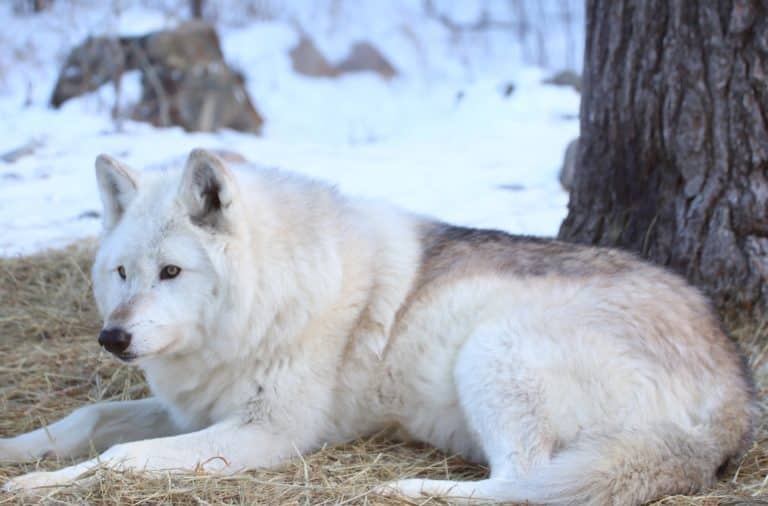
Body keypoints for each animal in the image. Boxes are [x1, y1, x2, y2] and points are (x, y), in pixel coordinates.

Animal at [1, 149, 756, 504]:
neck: (275, 296)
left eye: (171, 273)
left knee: (524, 482)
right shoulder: (194, 411)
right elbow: (89, 419)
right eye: (122, 273)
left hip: (492, 351)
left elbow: (119, 457)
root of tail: (737, 391)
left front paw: (40, 486)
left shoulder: (266, 433)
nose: (113, 338)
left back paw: (406, 491)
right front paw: (16, 453)